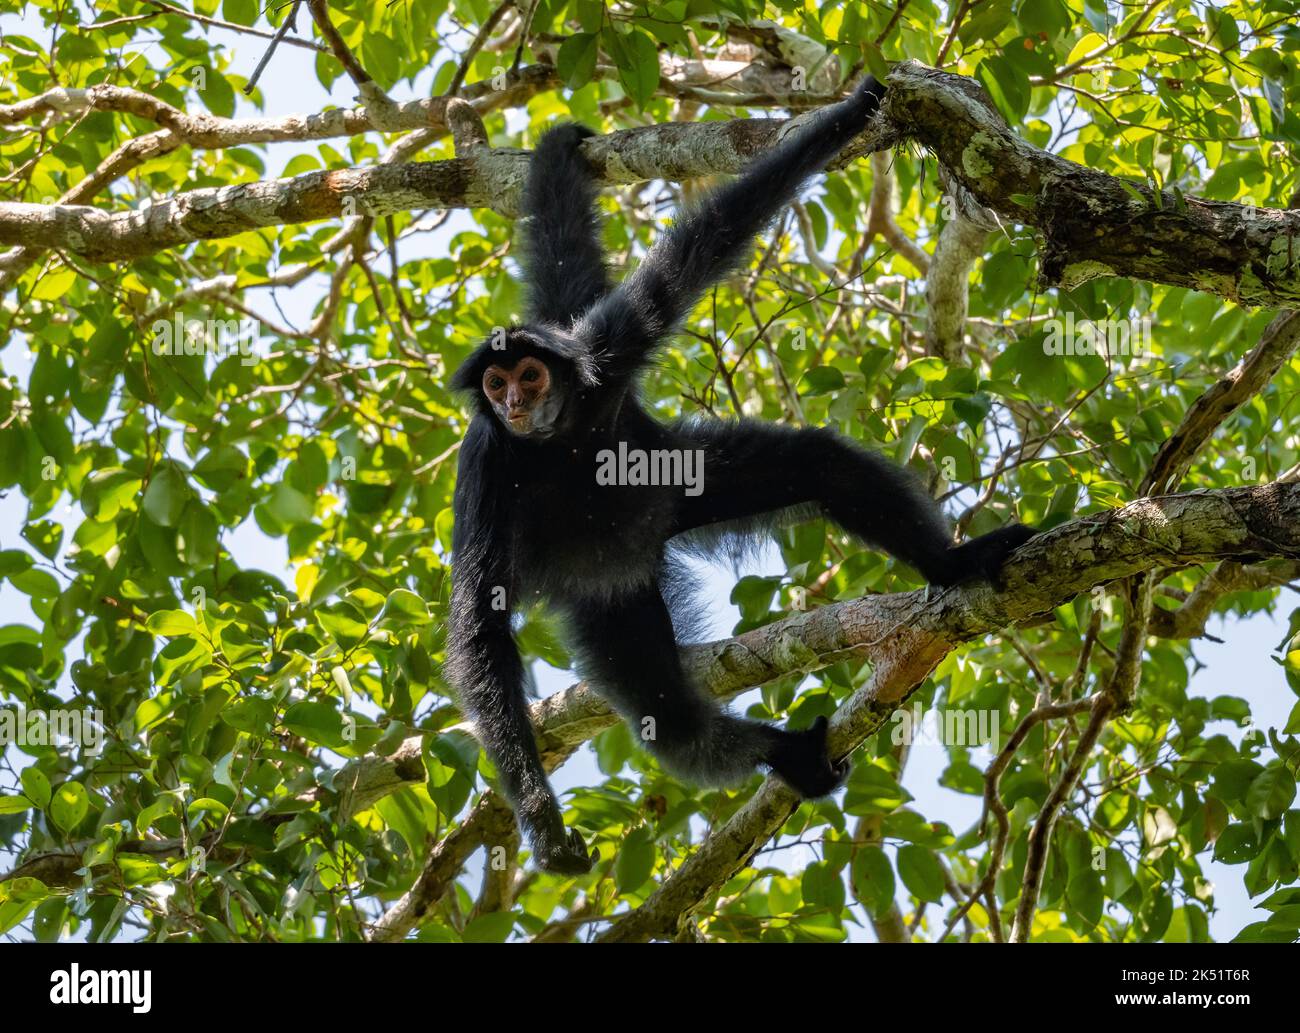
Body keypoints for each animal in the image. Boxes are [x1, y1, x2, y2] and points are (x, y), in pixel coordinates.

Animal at [445, 78, 1035, 873]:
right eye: (497, 386)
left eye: (530, 377)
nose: (513, 401)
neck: (555, 443)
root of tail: (634, 555)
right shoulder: (485, 460)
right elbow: (478, 632)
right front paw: (540, 817)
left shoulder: (604, 353)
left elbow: (711, 238)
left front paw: (855, 111)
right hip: (603, 593)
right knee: (672, 722)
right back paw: (785, 754)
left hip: (669, 491)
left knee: (820, 465)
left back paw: (951, 564)